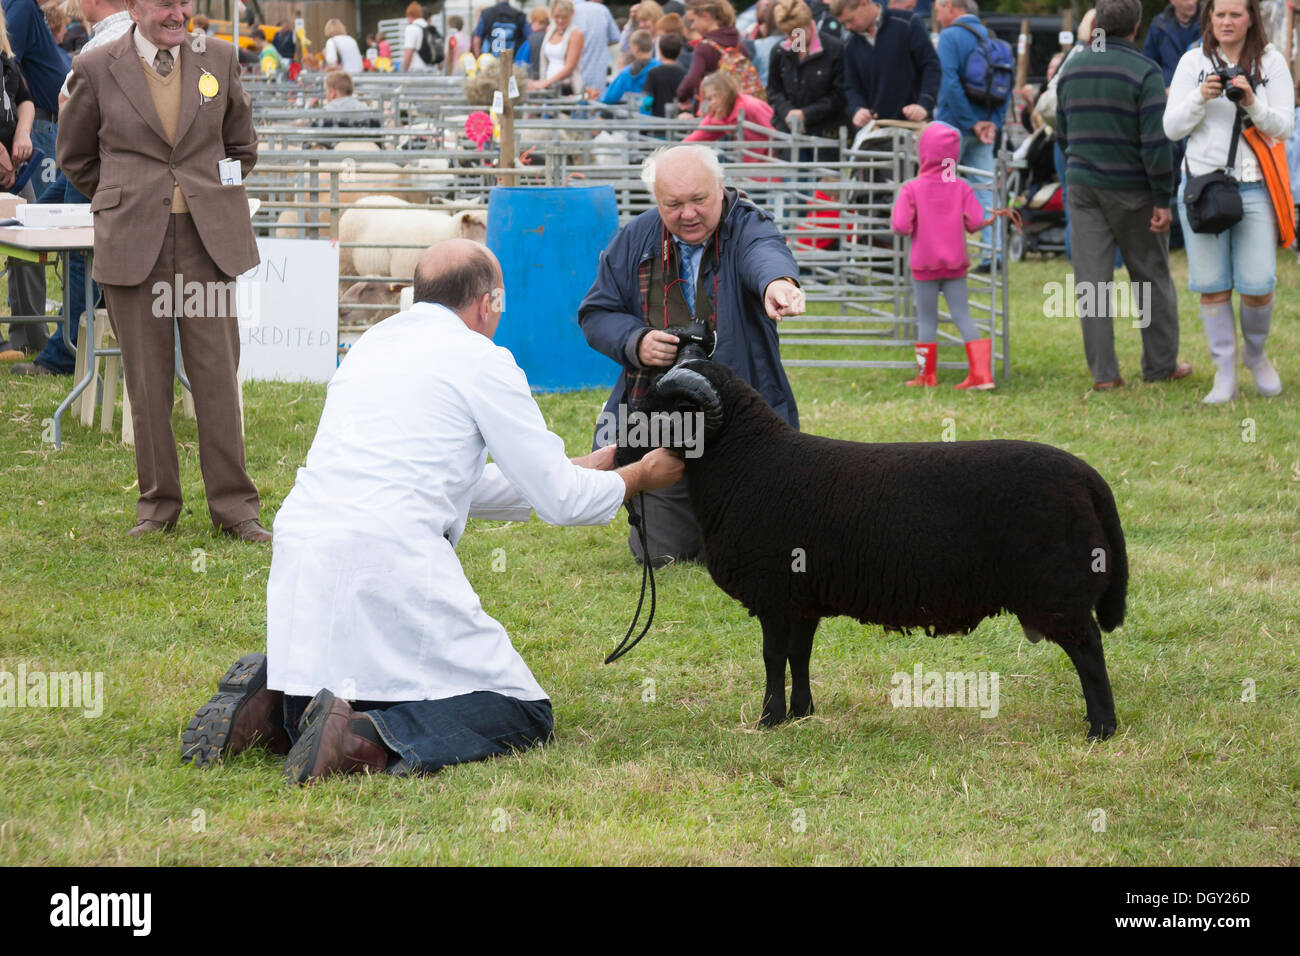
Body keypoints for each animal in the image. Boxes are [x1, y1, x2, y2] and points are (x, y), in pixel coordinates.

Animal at [619, 360, 1126, 740]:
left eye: (665, 410)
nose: (619, 451)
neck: (747, 462)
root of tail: (1089, 478)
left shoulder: (776, 596)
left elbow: (772, 657)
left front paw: (769, 720)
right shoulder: (803, 600)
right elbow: (799, 655)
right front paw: (802, 712)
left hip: (1058, 590)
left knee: (1089, 650)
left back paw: (1101, 728)